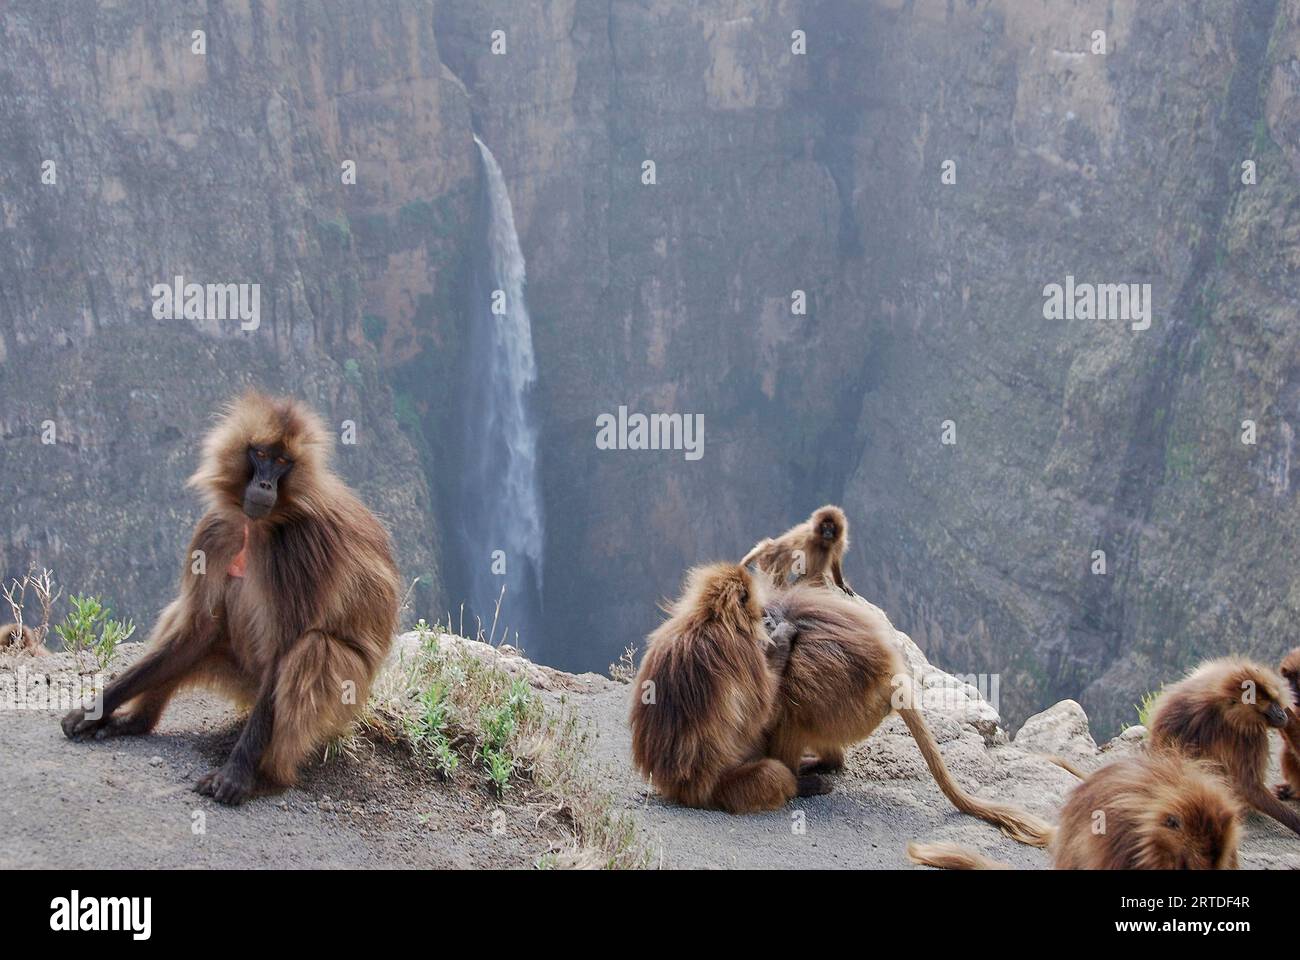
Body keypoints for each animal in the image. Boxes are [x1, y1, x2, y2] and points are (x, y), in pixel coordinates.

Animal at [61, 391, 400, 805]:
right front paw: (95, 709)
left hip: (342, 698)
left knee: (313, 650)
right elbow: (197, 628)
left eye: (284, 462)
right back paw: (136, 722)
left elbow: (286, 649)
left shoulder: (297, 550)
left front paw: (236, 773)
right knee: (189, 629)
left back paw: (270, 777)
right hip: (238, 674)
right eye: (261, 454)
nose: (265, 485)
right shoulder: (214, 530)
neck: (259, 525)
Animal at [628, 563, 829, 814]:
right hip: (722, 787)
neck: (709, 620)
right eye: (762, 613)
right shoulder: (742, 650)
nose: (769, 620)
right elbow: (760, 713)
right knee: (771, 773)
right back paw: (802, 784)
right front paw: (781, 638)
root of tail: (681, 791)